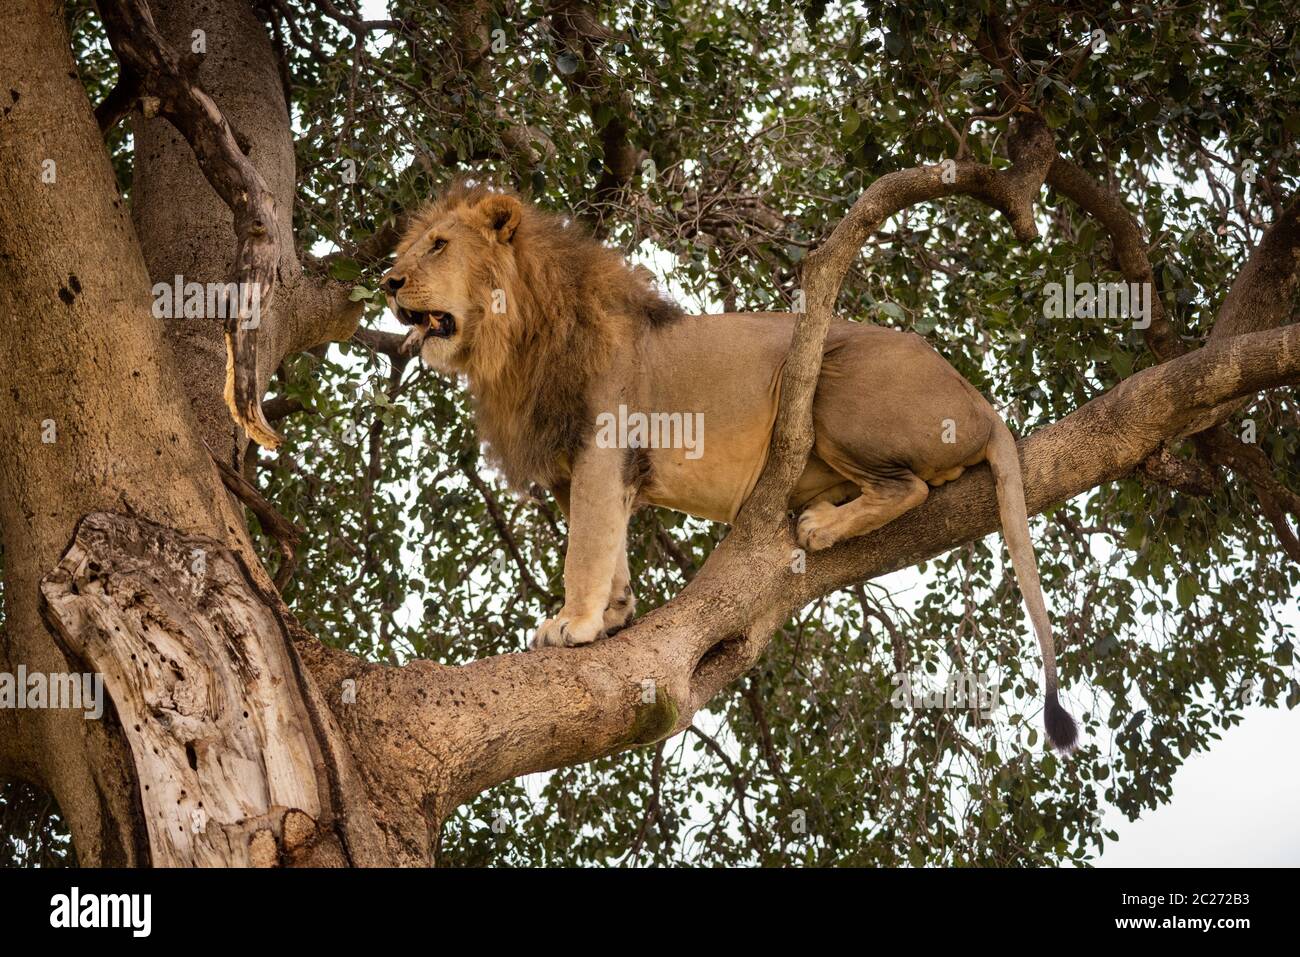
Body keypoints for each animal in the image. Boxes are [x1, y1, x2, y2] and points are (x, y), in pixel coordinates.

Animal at [382, 182, 1078, 752]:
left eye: (439, 246)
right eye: (408, 247)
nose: (387, 283)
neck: (513, 340)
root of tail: (978, 400)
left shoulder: (602, 447)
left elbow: (585, 548)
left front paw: (572, 626)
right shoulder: (590, 470)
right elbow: (612, 549)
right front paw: (614, 615)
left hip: (830, 381)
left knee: (907, 486)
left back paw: (820, 526)